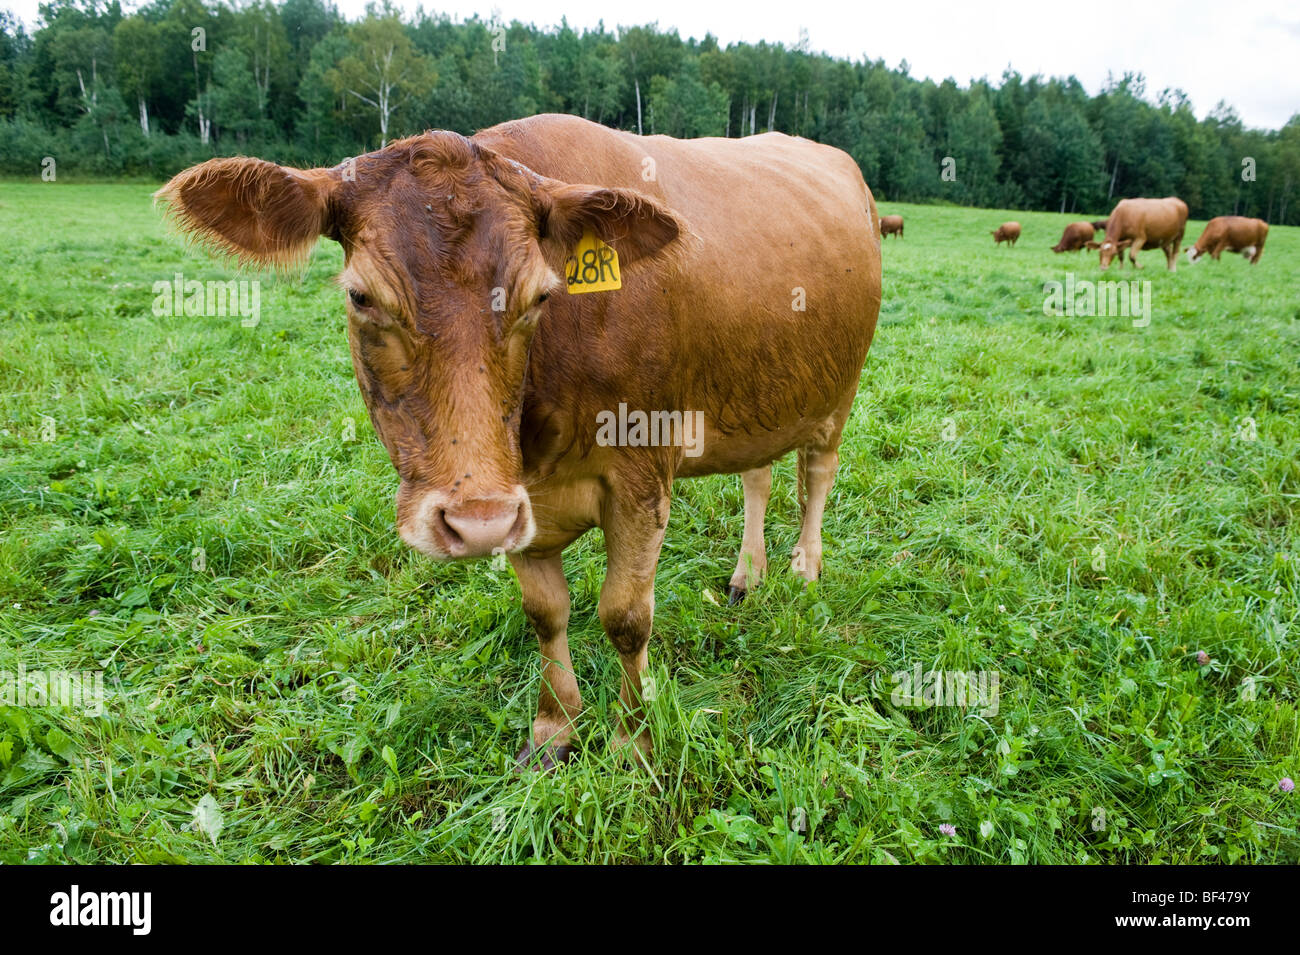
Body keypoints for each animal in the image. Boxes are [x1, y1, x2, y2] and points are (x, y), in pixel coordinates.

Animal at [156, 113, 882, 770]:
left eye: (539, 296)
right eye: (362, 297)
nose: (473, 518)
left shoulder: (640, 478)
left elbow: (625, 616)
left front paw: (633, 741)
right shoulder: (520, 501)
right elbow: (545, 613)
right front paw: (555, 727)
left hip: (839, 391)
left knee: (817, 475)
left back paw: (803, 566)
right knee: (757, 474)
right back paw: (747, 574)